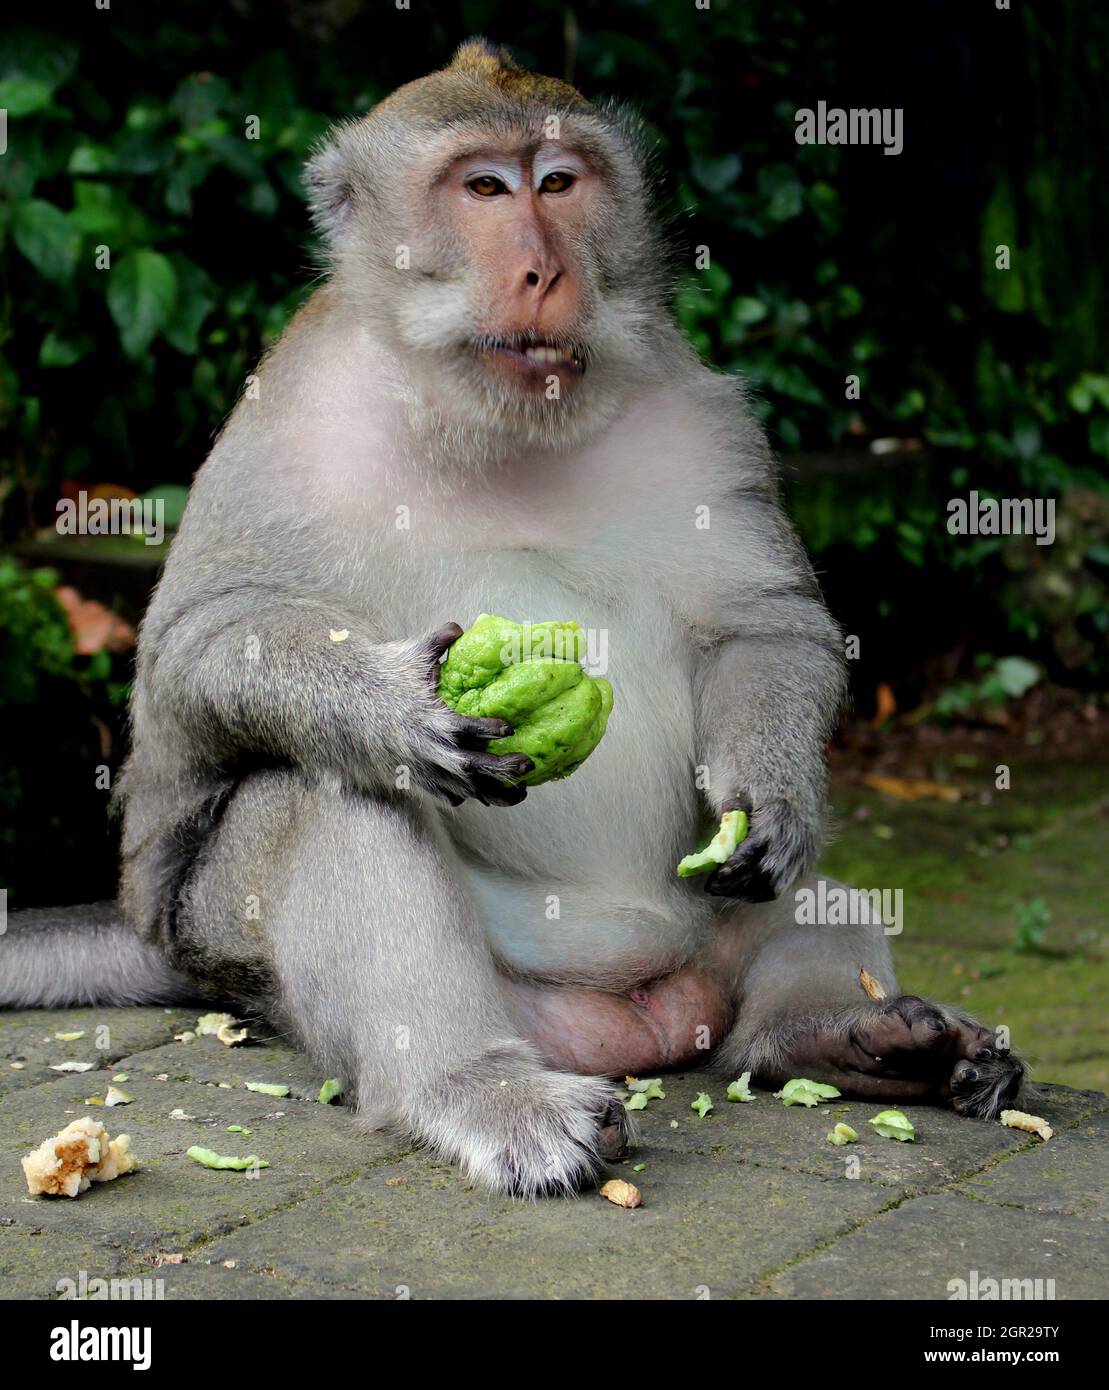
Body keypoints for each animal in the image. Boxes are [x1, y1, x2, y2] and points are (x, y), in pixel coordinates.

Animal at [1, 41, 1022, 1194]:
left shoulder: (701, 411)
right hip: (250, 950)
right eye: (483, 188)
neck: (495, 427)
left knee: (808, 908)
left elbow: (764, 625)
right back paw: (474, 1087)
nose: (546, 270)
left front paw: (768, 794)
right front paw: (391, 704)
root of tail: (636, 1022)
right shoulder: (290, 412)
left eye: (561, 181)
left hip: (699, 946)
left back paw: (840, 1039)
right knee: (329, 797)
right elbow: (199, 645)